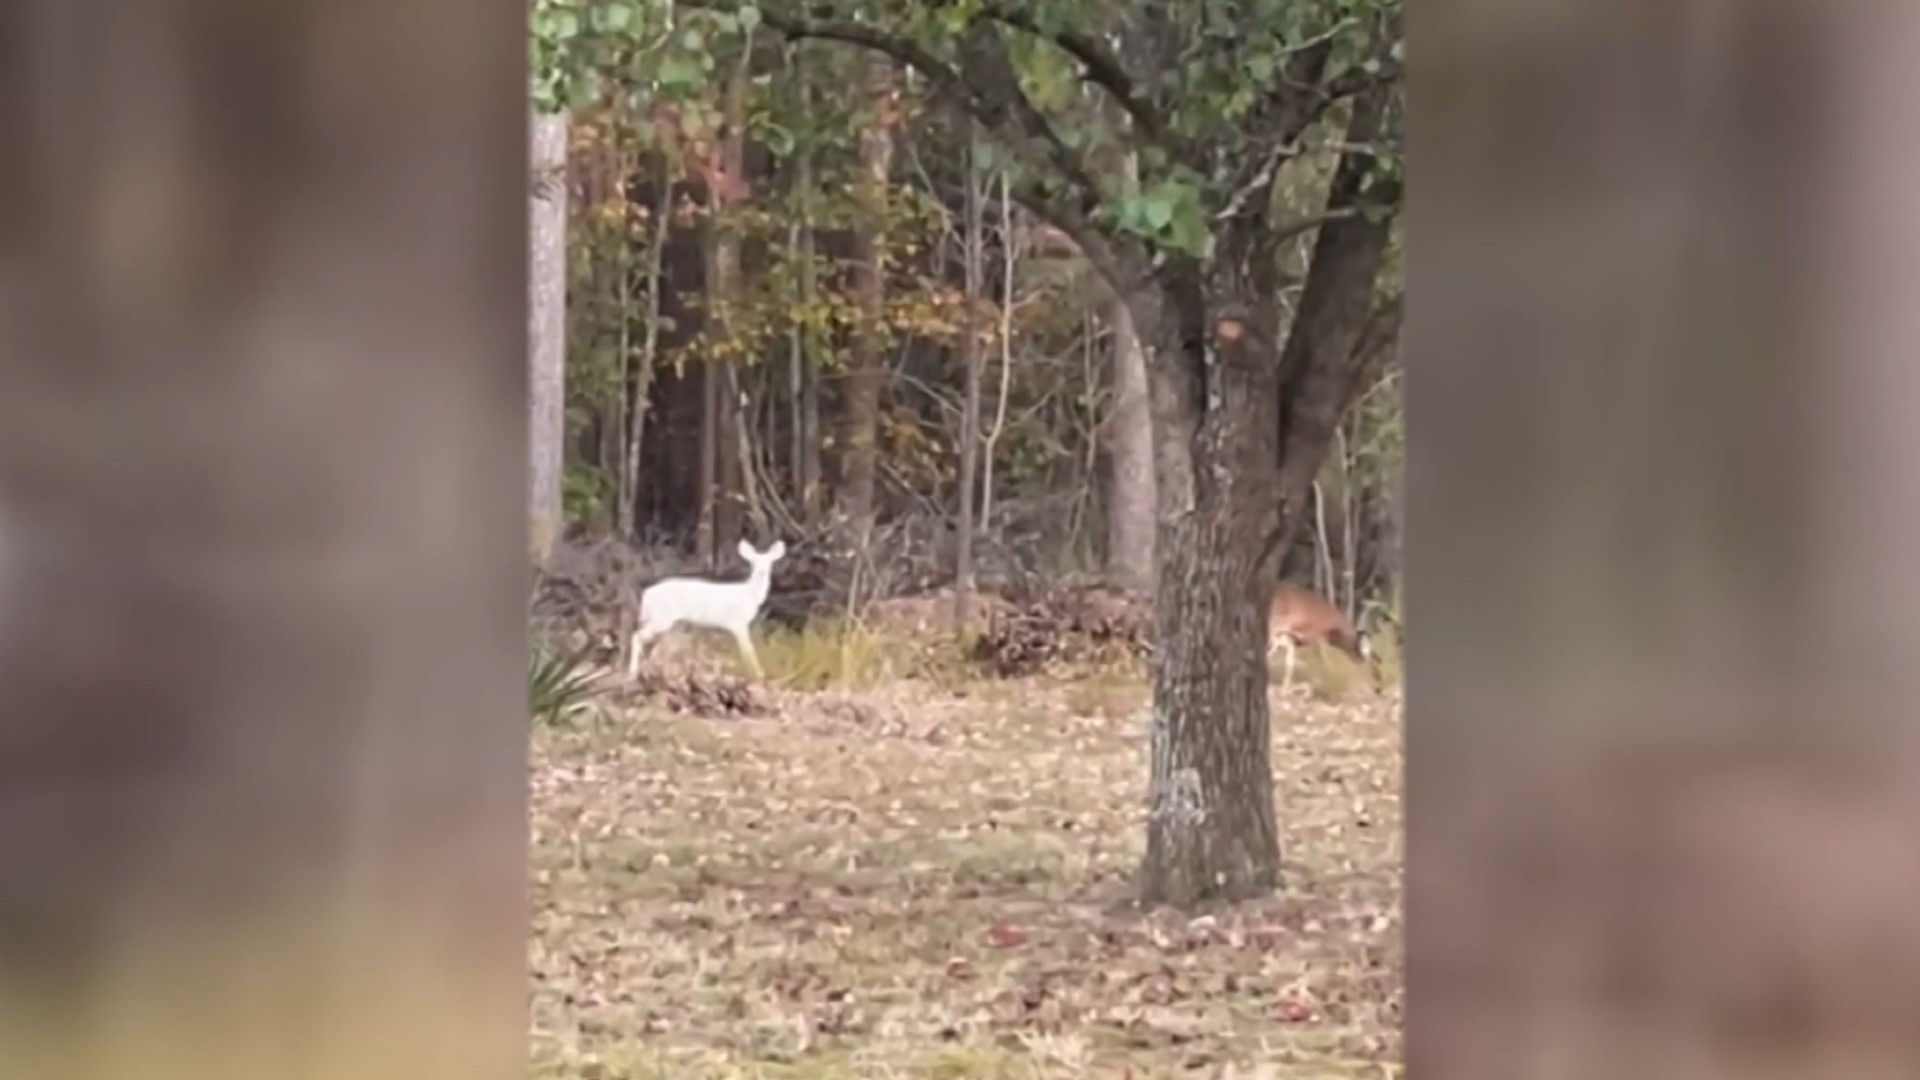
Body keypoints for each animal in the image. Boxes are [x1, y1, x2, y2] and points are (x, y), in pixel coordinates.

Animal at [627, 539, 786, 680]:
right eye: (753, 562)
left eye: (770, 562)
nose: (762, 571)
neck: (750, 594)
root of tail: (646, 594)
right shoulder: (737, 622)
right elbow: (748, 650)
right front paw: (759, 675)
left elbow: (724, 654)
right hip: (661, 617)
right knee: (637, 636)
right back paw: (633, 672)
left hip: (668, 622)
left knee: (658, 647)